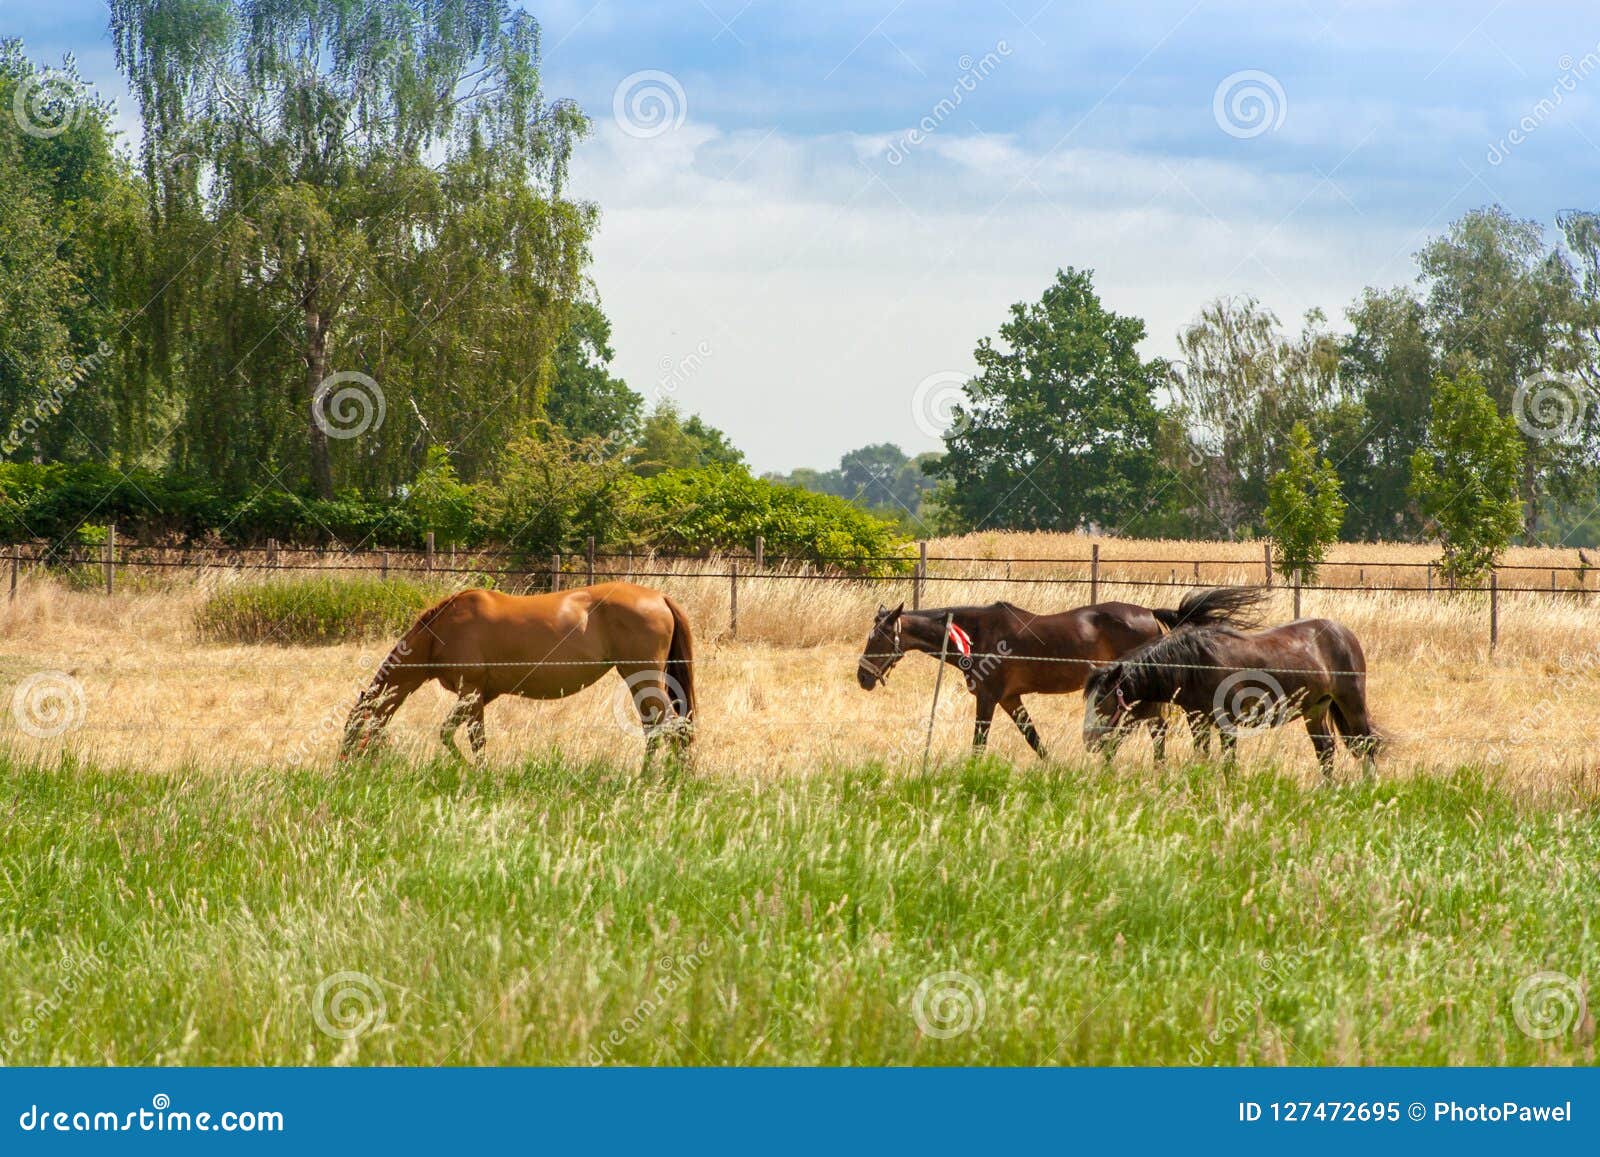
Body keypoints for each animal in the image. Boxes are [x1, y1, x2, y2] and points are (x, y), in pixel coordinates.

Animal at [340, 582, 696, 768]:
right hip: (638, 680)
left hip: (642, 675)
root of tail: (659, 597)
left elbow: (465, 737)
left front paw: (475, 772)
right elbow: (469, 736)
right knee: (656, 727)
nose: (342, 772)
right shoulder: (481, 695)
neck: (440, 632)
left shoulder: (469, 691)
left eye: (353, 730)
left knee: (671, 725)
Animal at [855, 587, 1267, 758]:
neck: (976, 634)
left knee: (1158, 729)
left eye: (878, 638)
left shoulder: (988, 698)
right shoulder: (1010, 699)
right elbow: (1034, 739)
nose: (862, 678)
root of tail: (1150, 615)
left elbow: (979, 741)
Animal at [1080, 617, 1380, 779]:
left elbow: (1228, 759)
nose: (1089, 740)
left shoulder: (1227, 722)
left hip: (1351, 702)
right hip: (1315, 710)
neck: (1193, 664)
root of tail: (1342, 632)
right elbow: (1203, 753)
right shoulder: (1198, 719)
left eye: (1101, 701)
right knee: (1325, 749)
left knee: (1366, 745)